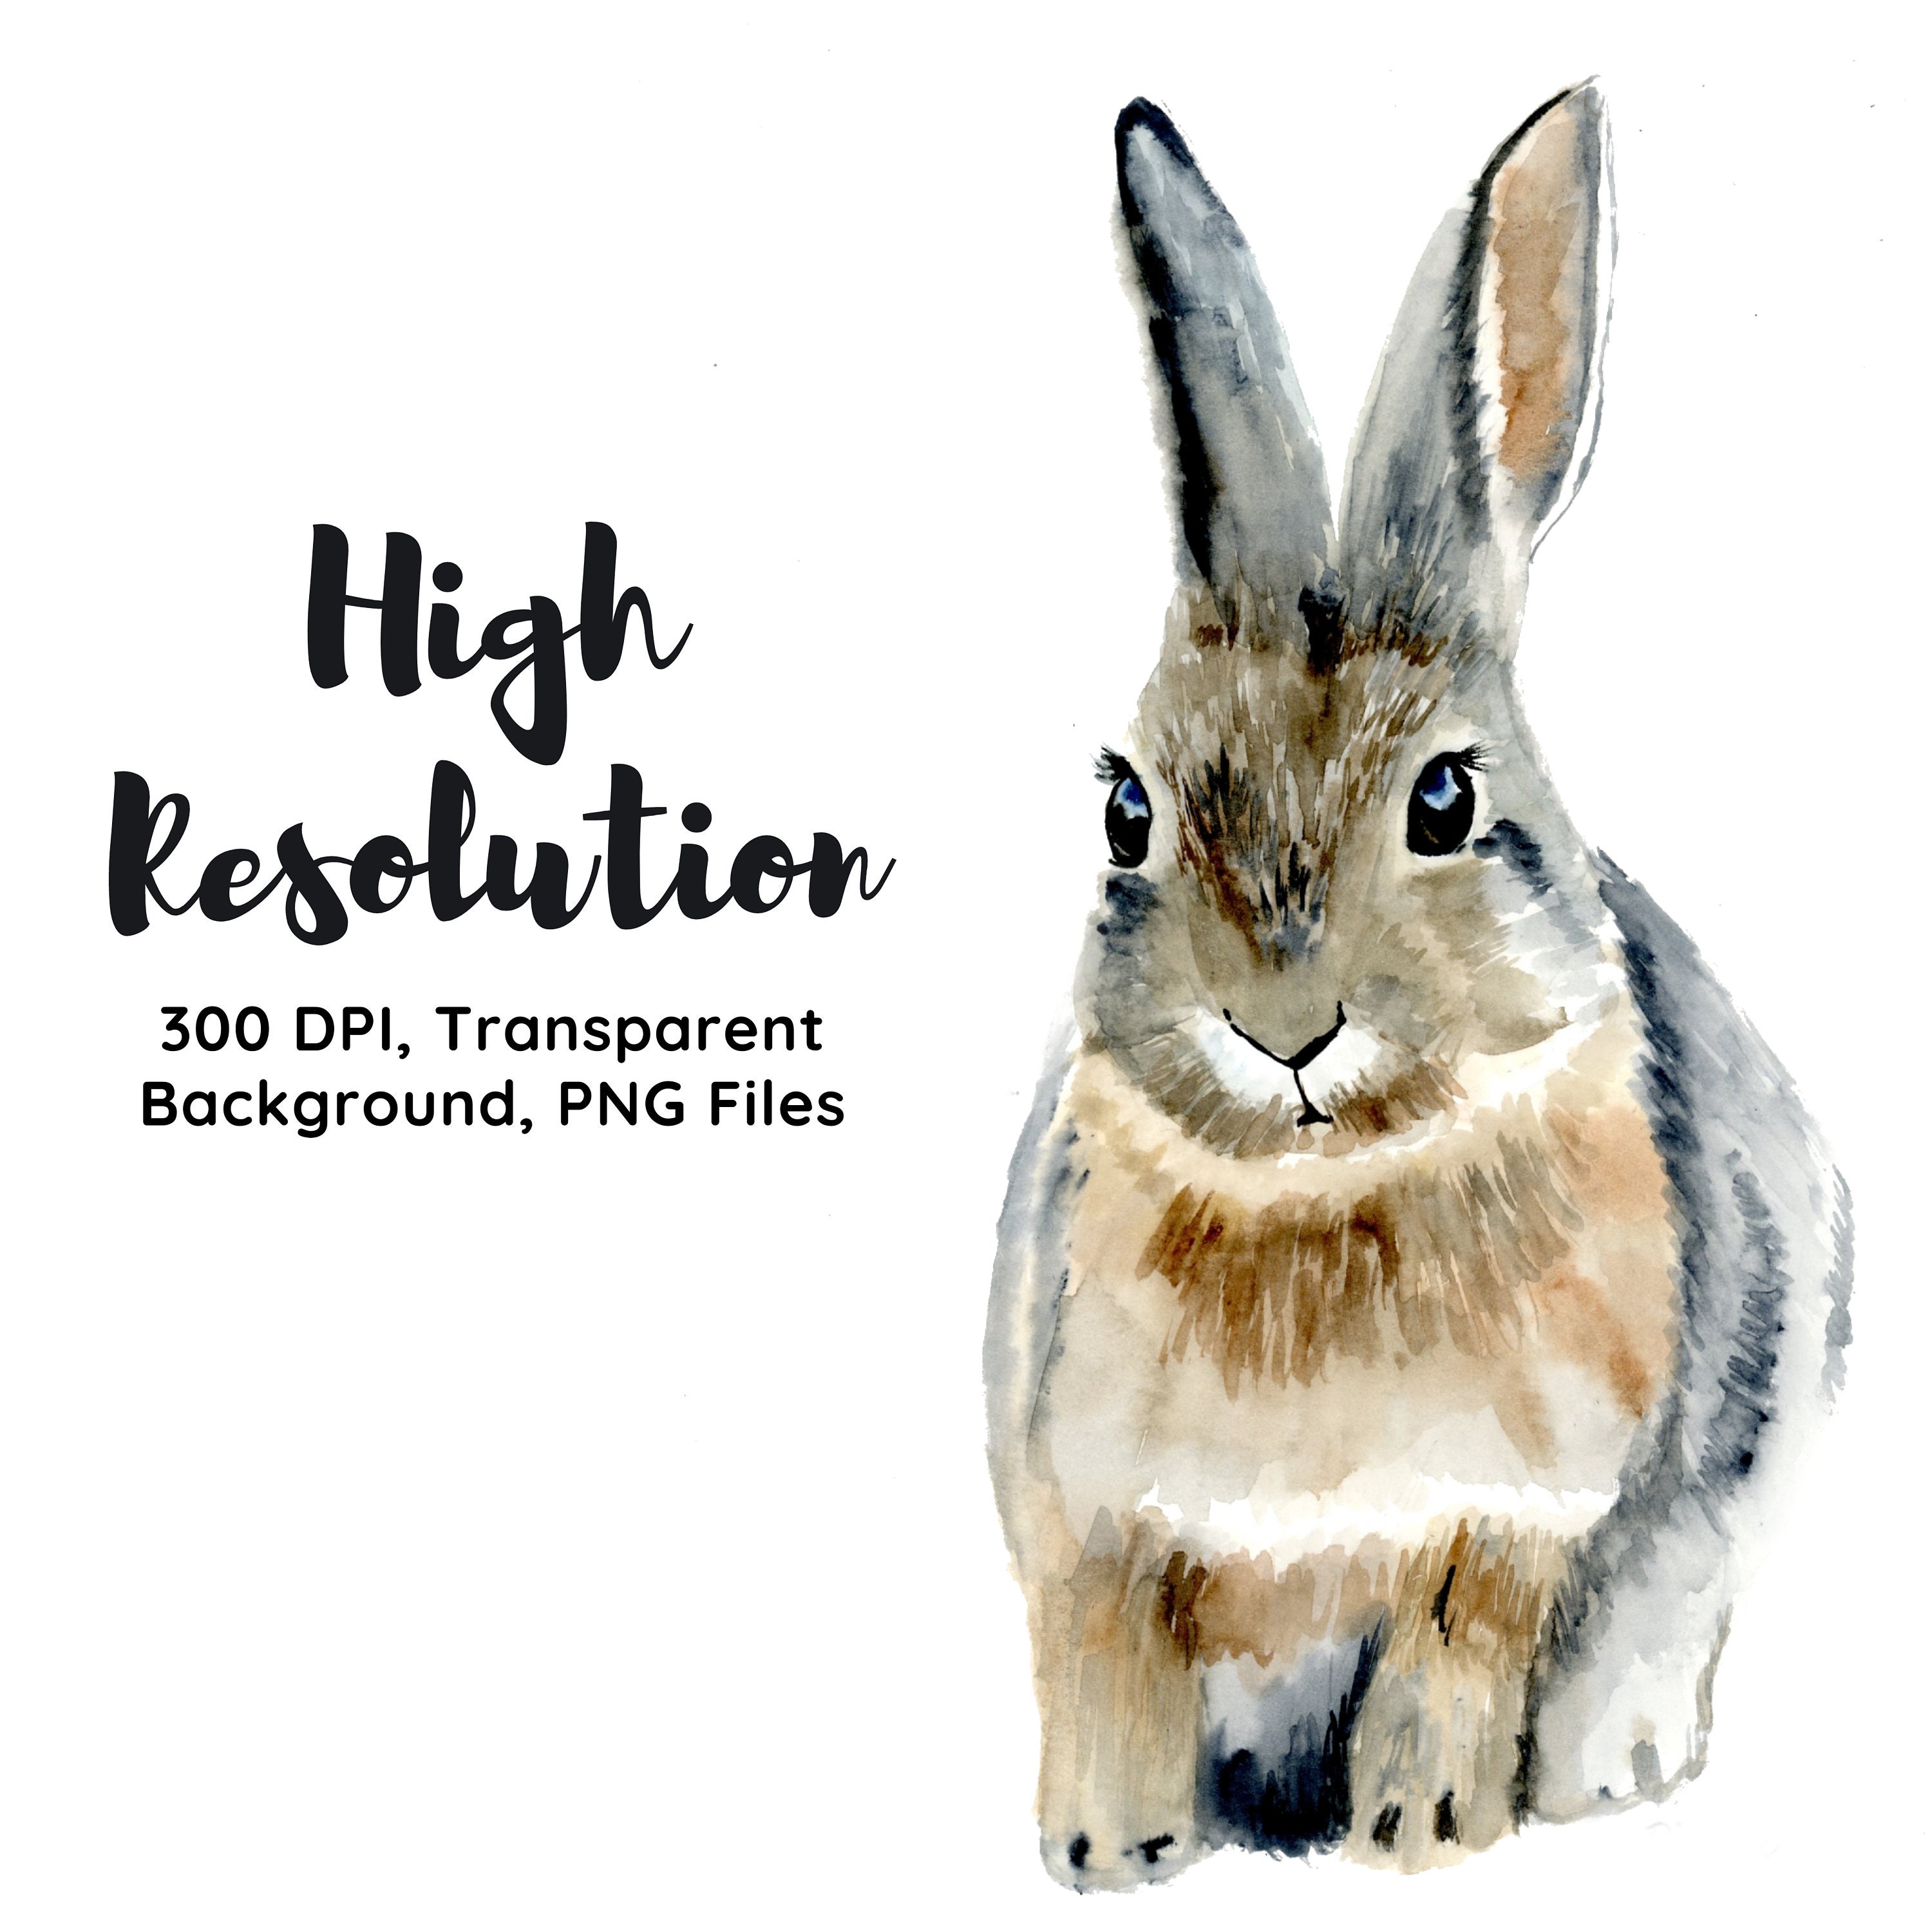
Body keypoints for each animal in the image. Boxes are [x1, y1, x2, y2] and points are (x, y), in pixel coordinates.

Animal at [985, 83, 1851, 1887]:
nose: (1281, 1028)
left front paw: (1421, 1834)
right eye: (1124, 809)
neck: (1329, 1197)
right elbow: (1105, 1666)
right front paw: (1109, 1852)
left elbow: (1454, 1654)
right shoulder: (1086, 1511)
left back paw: (1603, 1772)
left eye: (1445, 800)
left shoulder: (1512, 1518)